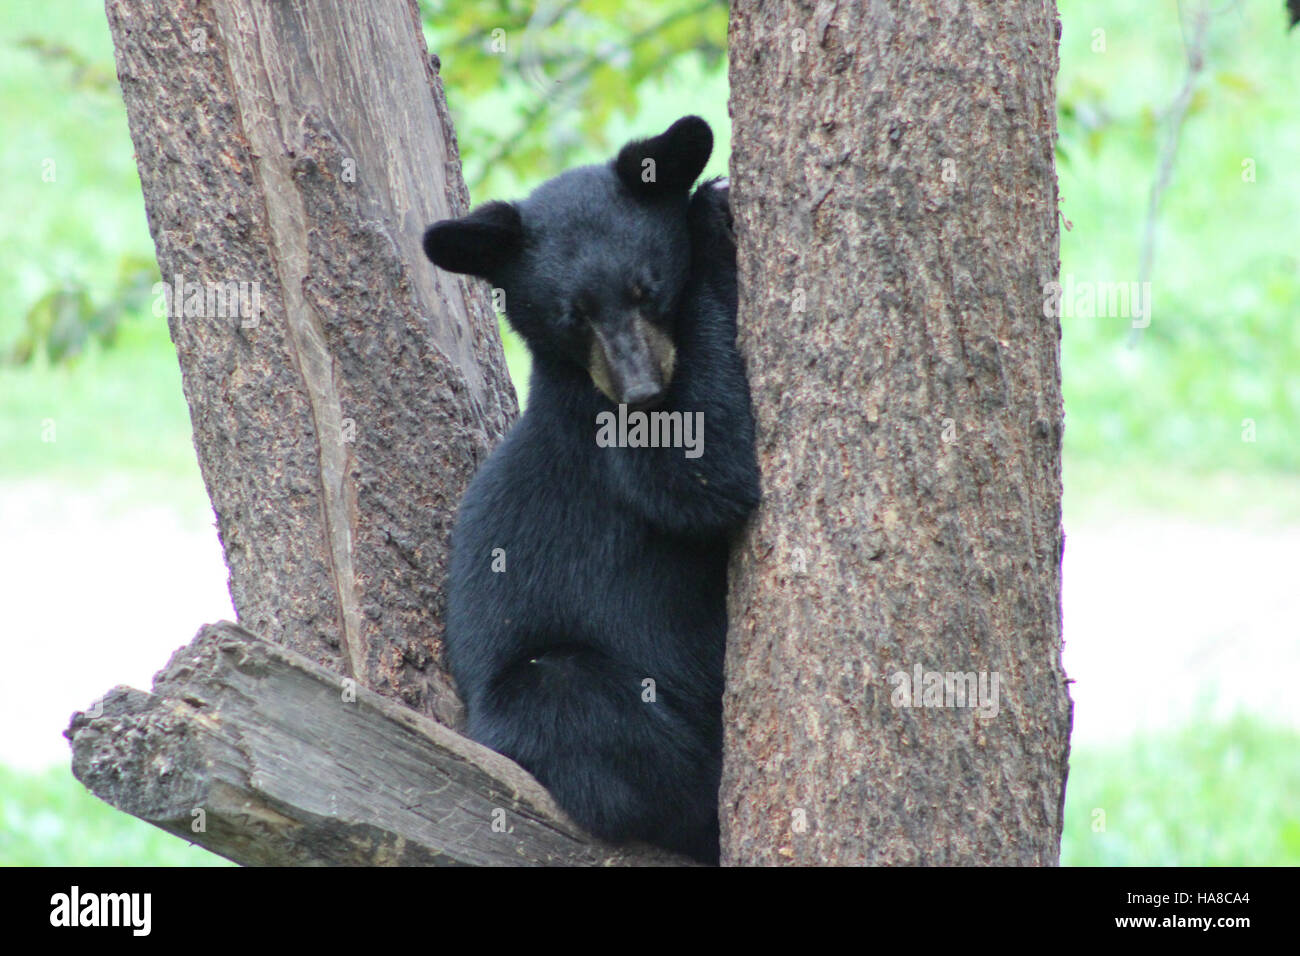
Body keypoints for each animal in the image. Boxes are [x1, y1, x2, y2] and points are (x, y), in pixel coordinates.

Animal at [421, 116, 759, 864]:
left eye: (644, 288)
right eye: (572, 314)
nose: (642, 390)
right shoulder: (606, 438)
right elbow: (701, 470)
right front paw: (711, 211)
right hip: (551, 699)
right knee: (588, 713)